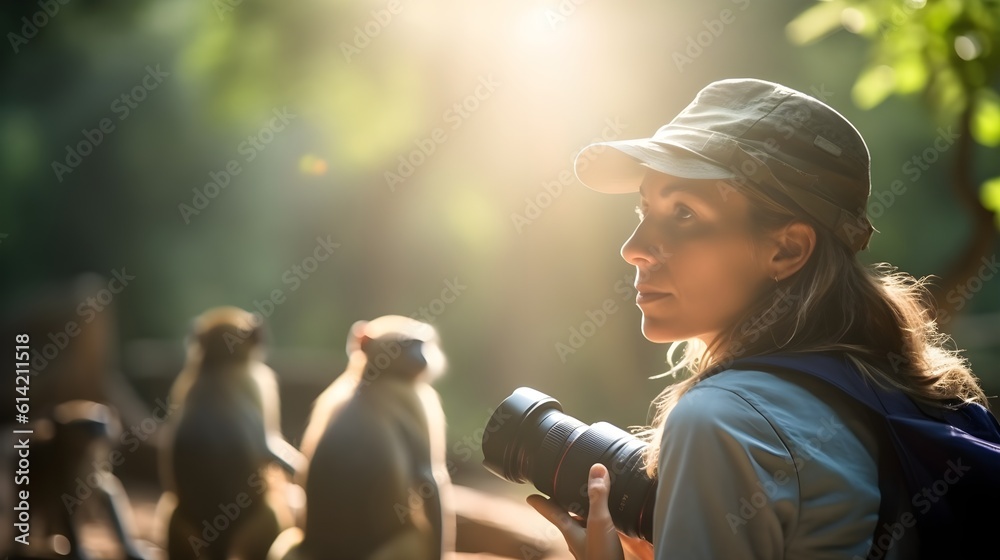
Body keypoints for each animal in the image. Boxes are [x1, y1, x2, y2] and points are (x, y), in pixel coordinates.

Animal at [157, 306, 305, 560]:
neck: (217, 365)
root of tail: (220, 541)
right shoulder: (257, 382)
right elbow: (267, 447)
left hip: (179, 517)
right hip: (258, 523)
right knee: (272, 513)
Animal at [269, 315, 454, 560]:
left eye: (422, 343)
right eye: (407, 344)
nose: (422, 357)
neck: (370, 376)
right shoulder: (413, 398)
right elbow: (428, 477)